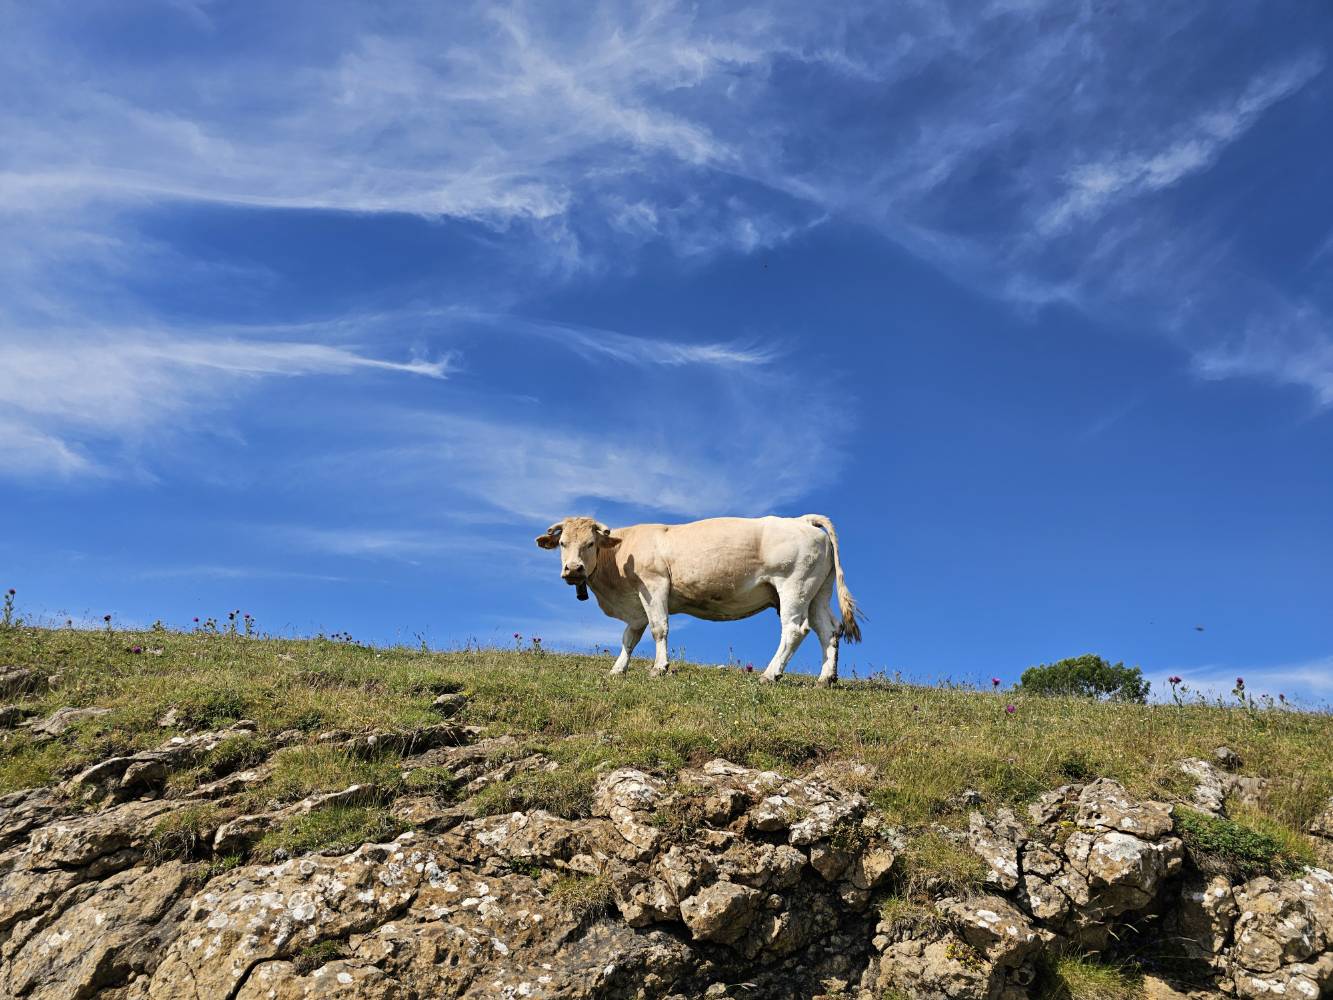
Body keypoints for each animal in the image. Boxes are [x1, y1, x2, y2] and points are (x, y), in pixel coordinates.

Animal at [535, 514, 862, 685]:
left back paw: (770, 674)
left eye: (590, 543)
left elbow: (659, 628)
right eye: (562, 543)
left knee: (795, 630)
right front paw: (618, 669)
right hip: (817, 591)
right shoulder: (636, 604)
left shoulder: (654, 584)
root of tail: (801, 519)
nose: (573, 569)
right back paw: (826, 678)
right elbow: (629, 638)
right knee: (828, 629)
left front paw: (660, 668)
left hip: (794, 586)